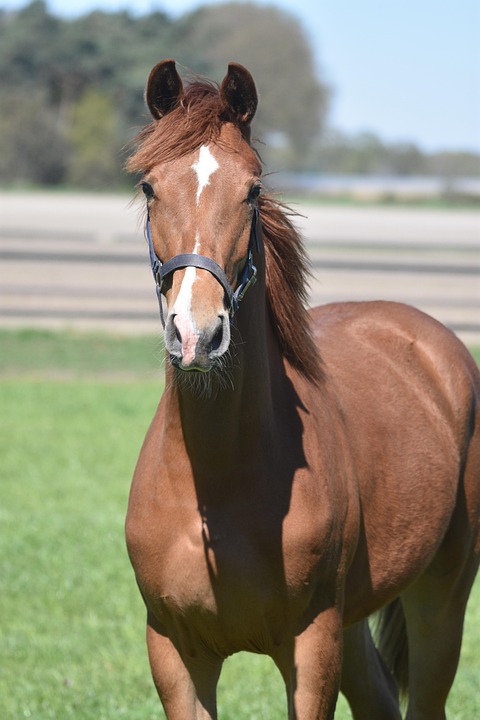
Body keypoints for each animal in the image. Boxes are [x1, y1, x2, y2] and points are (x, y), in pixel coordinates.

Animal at [125, 60, 480, 720]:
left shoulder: (311, 648)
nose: (196, 334)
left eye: (252, 190)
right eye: (149, 187)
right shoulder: (175, 651)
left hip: (440, 595)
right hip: (355, 621)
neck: (218, 488)